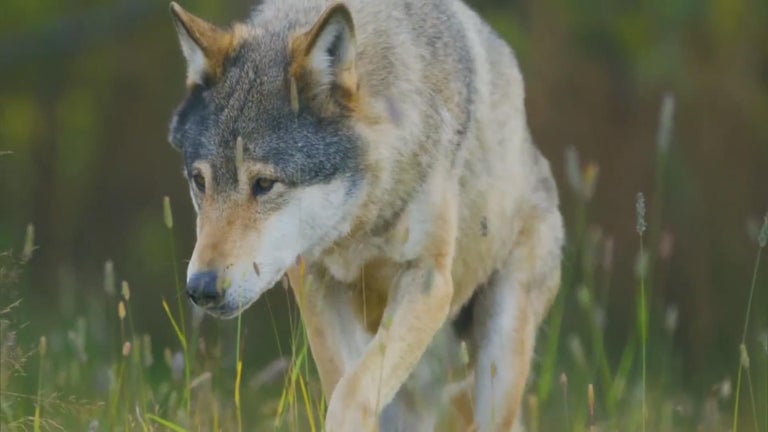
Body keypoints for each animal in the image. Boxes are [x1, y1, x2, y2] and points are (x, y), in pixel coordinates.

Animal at [167, 0, 563, 430]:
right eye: (199, 181)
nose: (201, 288)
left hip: (497, 361)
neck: (358, 225)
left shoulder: (428, 281)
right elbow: (341, 379)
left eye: (264, 184)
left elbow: (352, 393)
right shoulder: (316, 282)